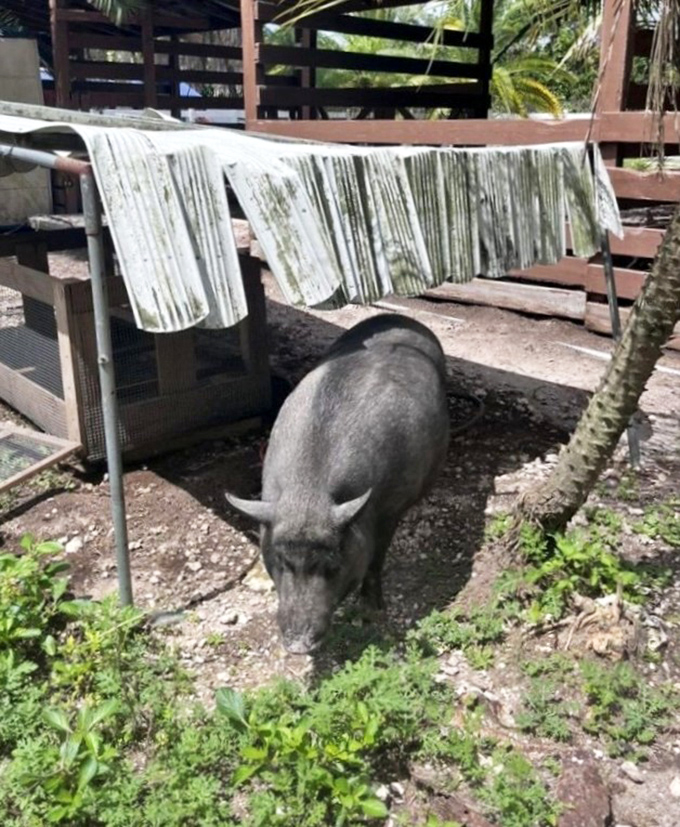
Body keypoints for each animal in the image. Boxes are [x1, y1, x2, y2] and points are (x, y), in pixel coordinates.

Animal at [226, 313, 449, 654]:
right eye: (280, 560)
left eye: (332, 563)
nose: (298, 644)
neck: (309, 494)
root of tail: (405, 319)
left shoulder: (391, 508)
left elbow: (376, 558)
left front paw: (372, 611)